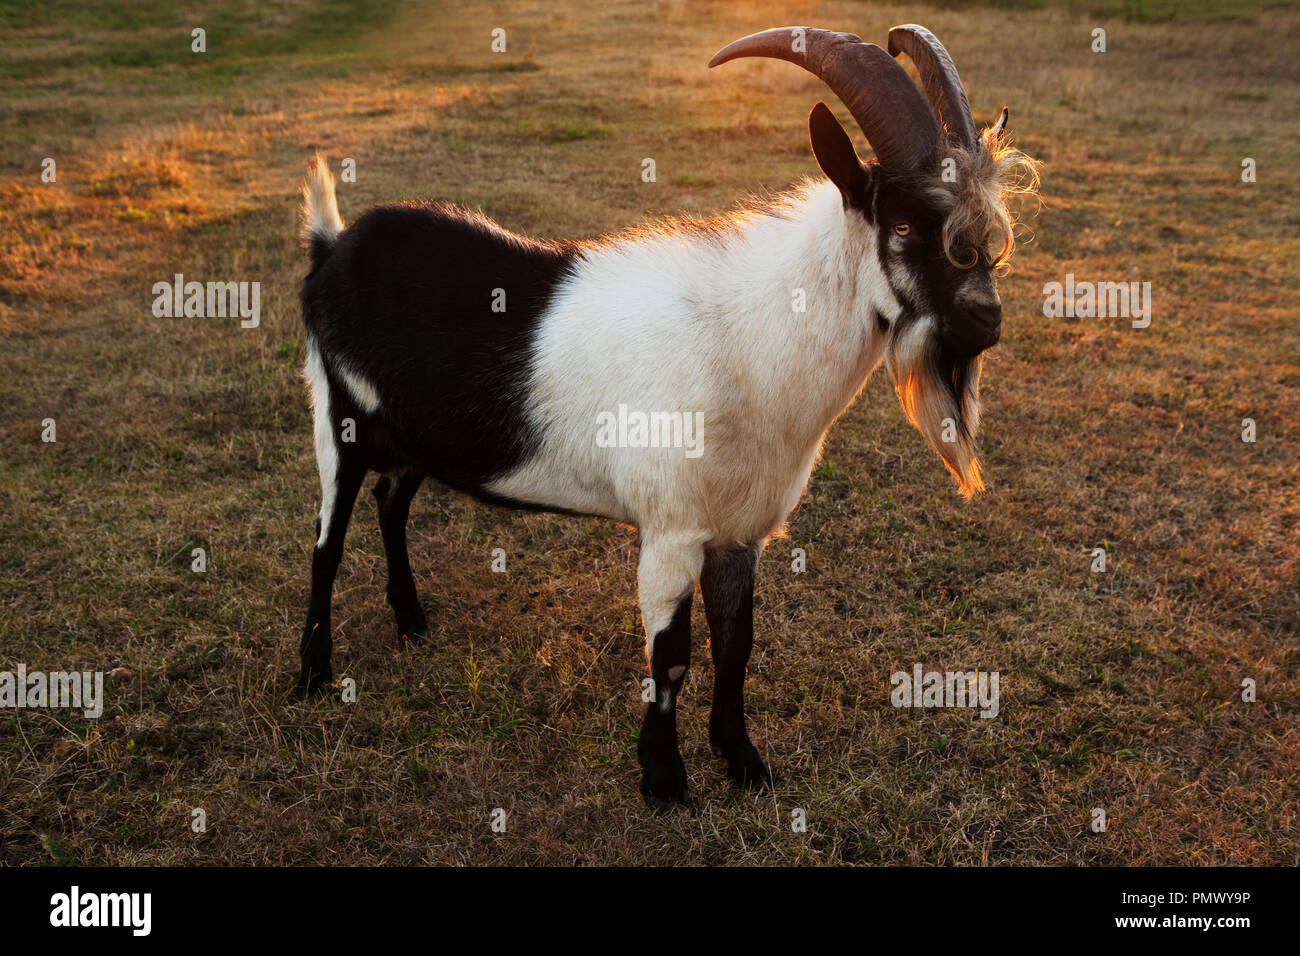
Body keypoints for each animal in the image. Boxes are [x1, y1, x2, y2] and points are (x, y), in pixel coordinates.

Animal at [295, 25, 1039, 808]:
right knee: (328, 538)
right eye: (901, 224)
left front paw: (743, 763)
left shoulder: (741, 533)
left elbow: (736, 643)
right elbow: (673, 654)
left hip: (416, 434)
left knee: (391, 502)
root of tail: (332, 247)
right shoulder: (670, 531)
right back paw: (313, 672)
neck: (742, 348)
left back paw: (411, 623)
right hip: (337, 418)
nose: (986, 321)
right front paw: (663, 780)